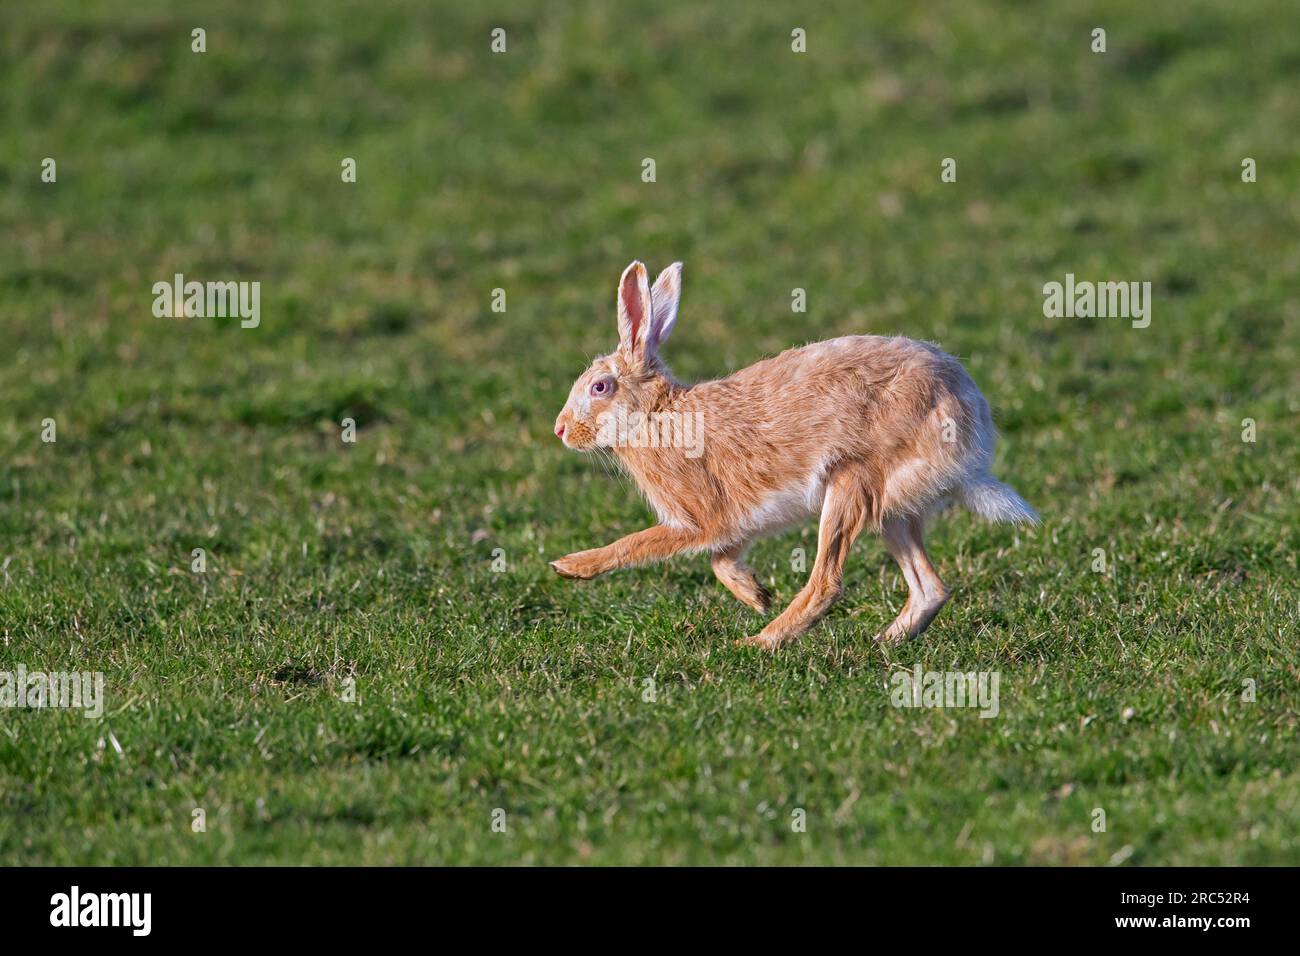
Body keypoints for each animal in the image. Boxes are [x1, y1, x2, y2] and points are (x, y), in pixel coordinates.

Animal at [550, 260, 1038, 650]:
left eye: (600, 387)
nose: (561, 430)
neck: (654, 415)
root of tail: (971, 434)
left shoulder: (698, 519)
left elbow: (638, 544)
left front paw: (571, 567)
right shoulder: (734, 526)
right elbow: (720, 561)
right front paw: (756, 594)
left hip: (850, 486)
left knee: (827, 583)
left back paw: (760, 643)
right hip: (891, 510)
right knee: (930, 588)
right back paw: (884, 640)